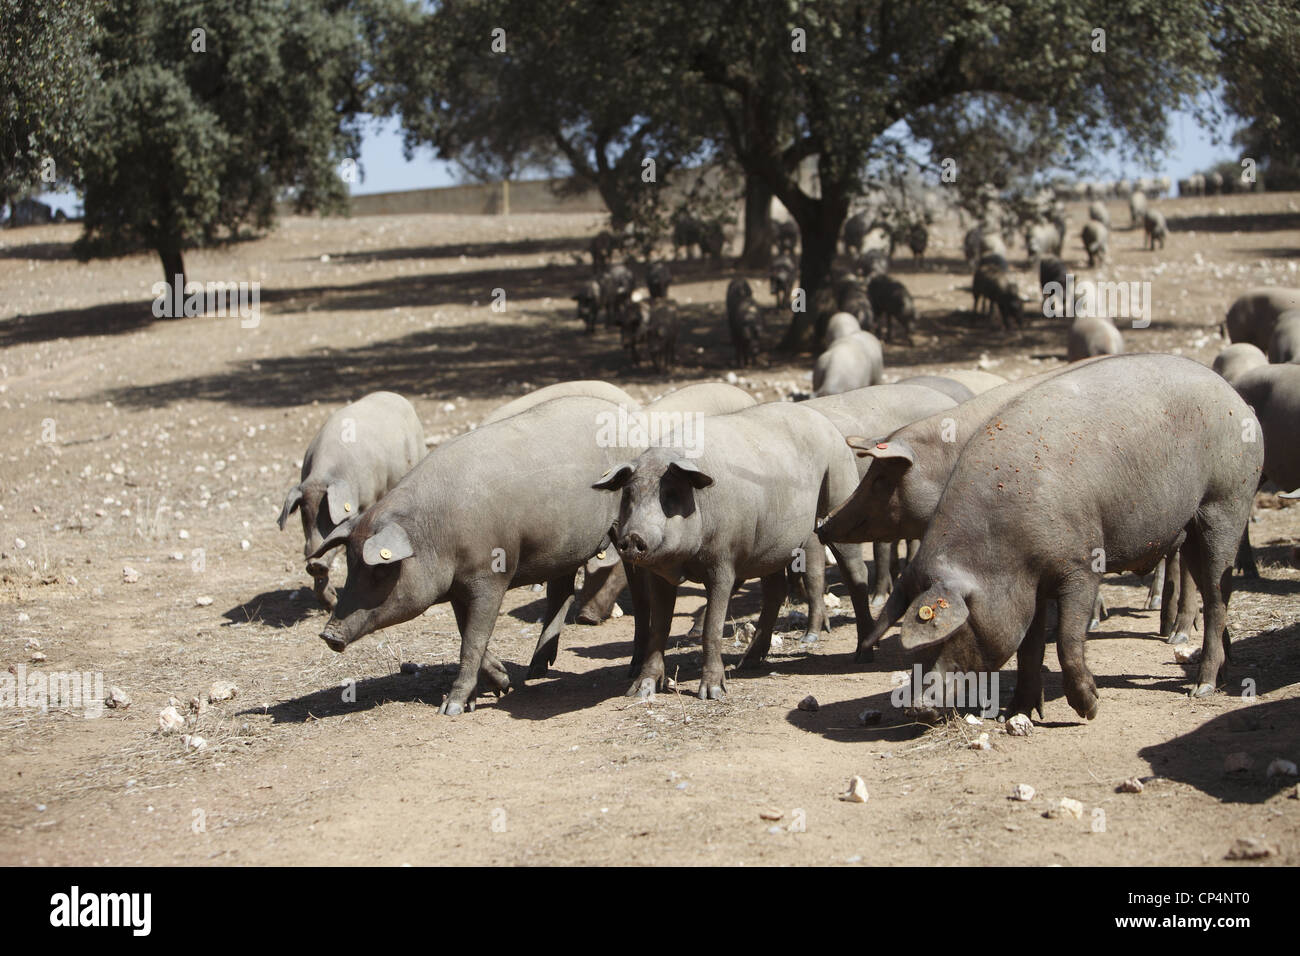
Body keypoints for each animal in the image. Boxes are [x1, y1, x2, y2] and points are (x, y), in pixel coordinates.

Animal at [278, 392, 425, 609]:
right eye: (304, 516)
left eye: (333, 520)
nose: (315, 565)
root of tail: (396, 396)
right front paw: (331, 603)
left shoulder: (369, 500)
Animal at [312, 397, 627, 715]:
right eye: (350, 564)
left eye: (379, 570)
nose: (328, 635)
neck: (434, 533)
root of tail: (627, 415)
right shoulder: (456, 588)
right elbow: (466, 632)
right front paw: (499, 685)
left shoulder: (490, 578)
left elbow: (473, 640)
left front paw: (451, 708)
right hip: (563, 548)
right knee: (560, 594)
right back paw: (535, 670)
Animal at [593, 401, 880, 699]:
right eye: (628, 495)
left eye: (670, 494)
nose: (633, 536)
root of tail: (828, 425)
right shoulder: (660, 574)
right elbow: (659, 627)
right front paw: (641, 691)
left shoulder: (724, 561)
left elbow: (712, 627)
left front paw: (711, 693)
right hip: (771, 546)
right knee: (775, 591)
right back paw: (749, 662)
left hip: (839, 494)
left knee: (855, 574)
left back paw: (863, 654)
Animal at [837, 354, 1262, 716]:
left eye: (944, 635)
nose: (914, 706)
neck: (1002, 551)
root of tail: (1241, 402)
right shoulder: (1031, 587)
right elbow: (1029, 647)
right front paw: (1017, 713)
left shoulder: (1081, 565)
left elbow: (1068, 640)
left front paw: (1089, 708)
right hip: (1189, 525)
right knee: (1213, 591)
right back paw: (1221, 670)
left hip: (1226, 501)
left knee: (1218, 594)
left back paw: (1201, 687)